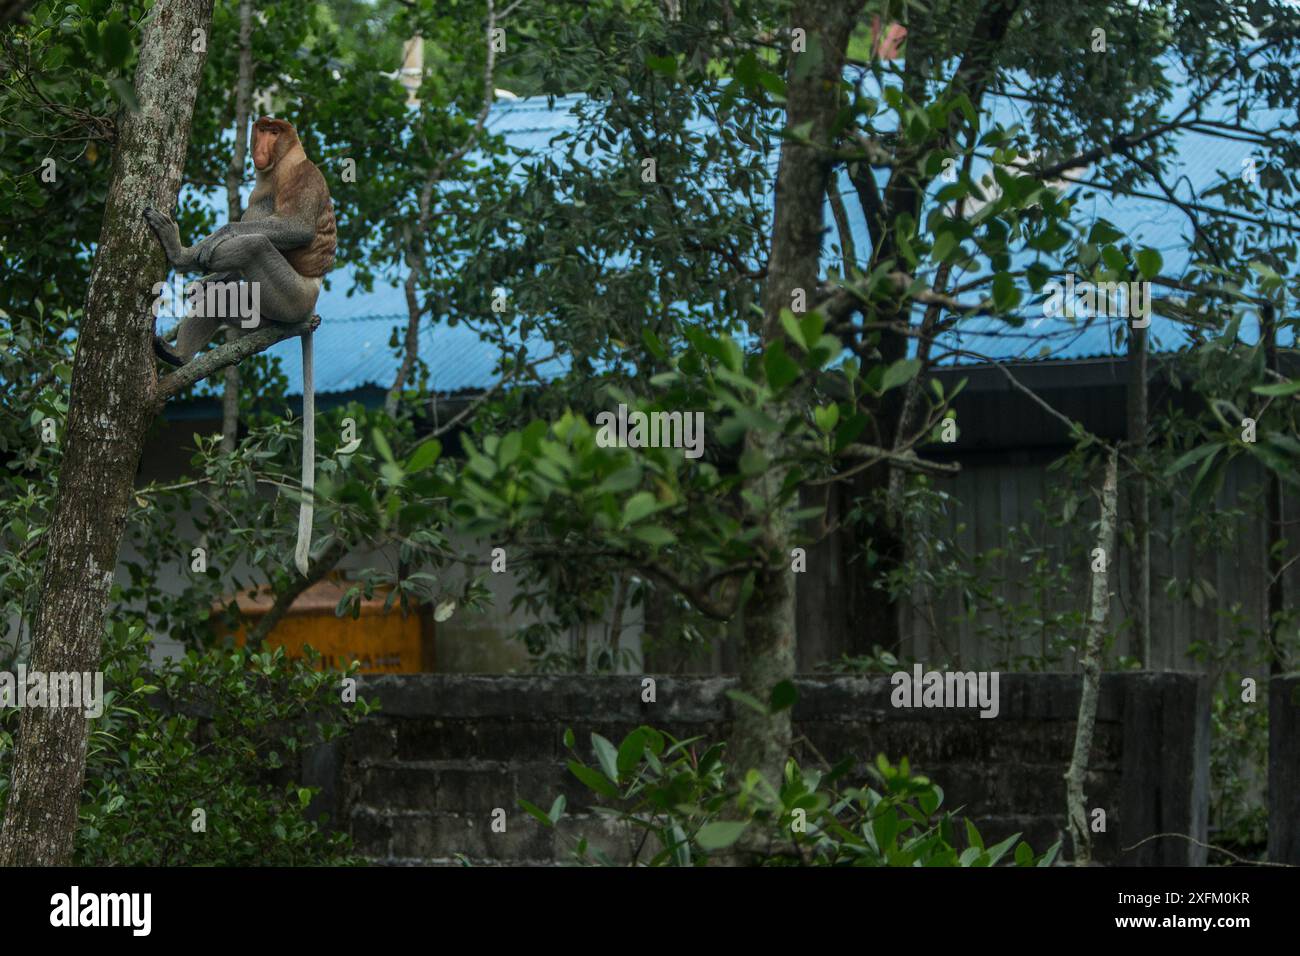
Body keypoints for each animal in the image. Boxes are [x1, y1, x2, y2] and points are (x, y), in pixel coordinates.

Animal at [144, 116, 336, 578]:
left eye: (275, 130)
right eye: (262, 129)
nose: (262, 142)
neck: (279, 164)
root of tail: (310, 306)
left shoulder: (301, 175)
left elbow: (297, 227)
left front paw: (215, 239)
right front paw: (202, 278)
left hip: (287, 294)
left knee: (255, 245)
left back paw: (185, 255)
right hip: (257, 306)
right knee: (224, 292)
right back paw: (178, 351)